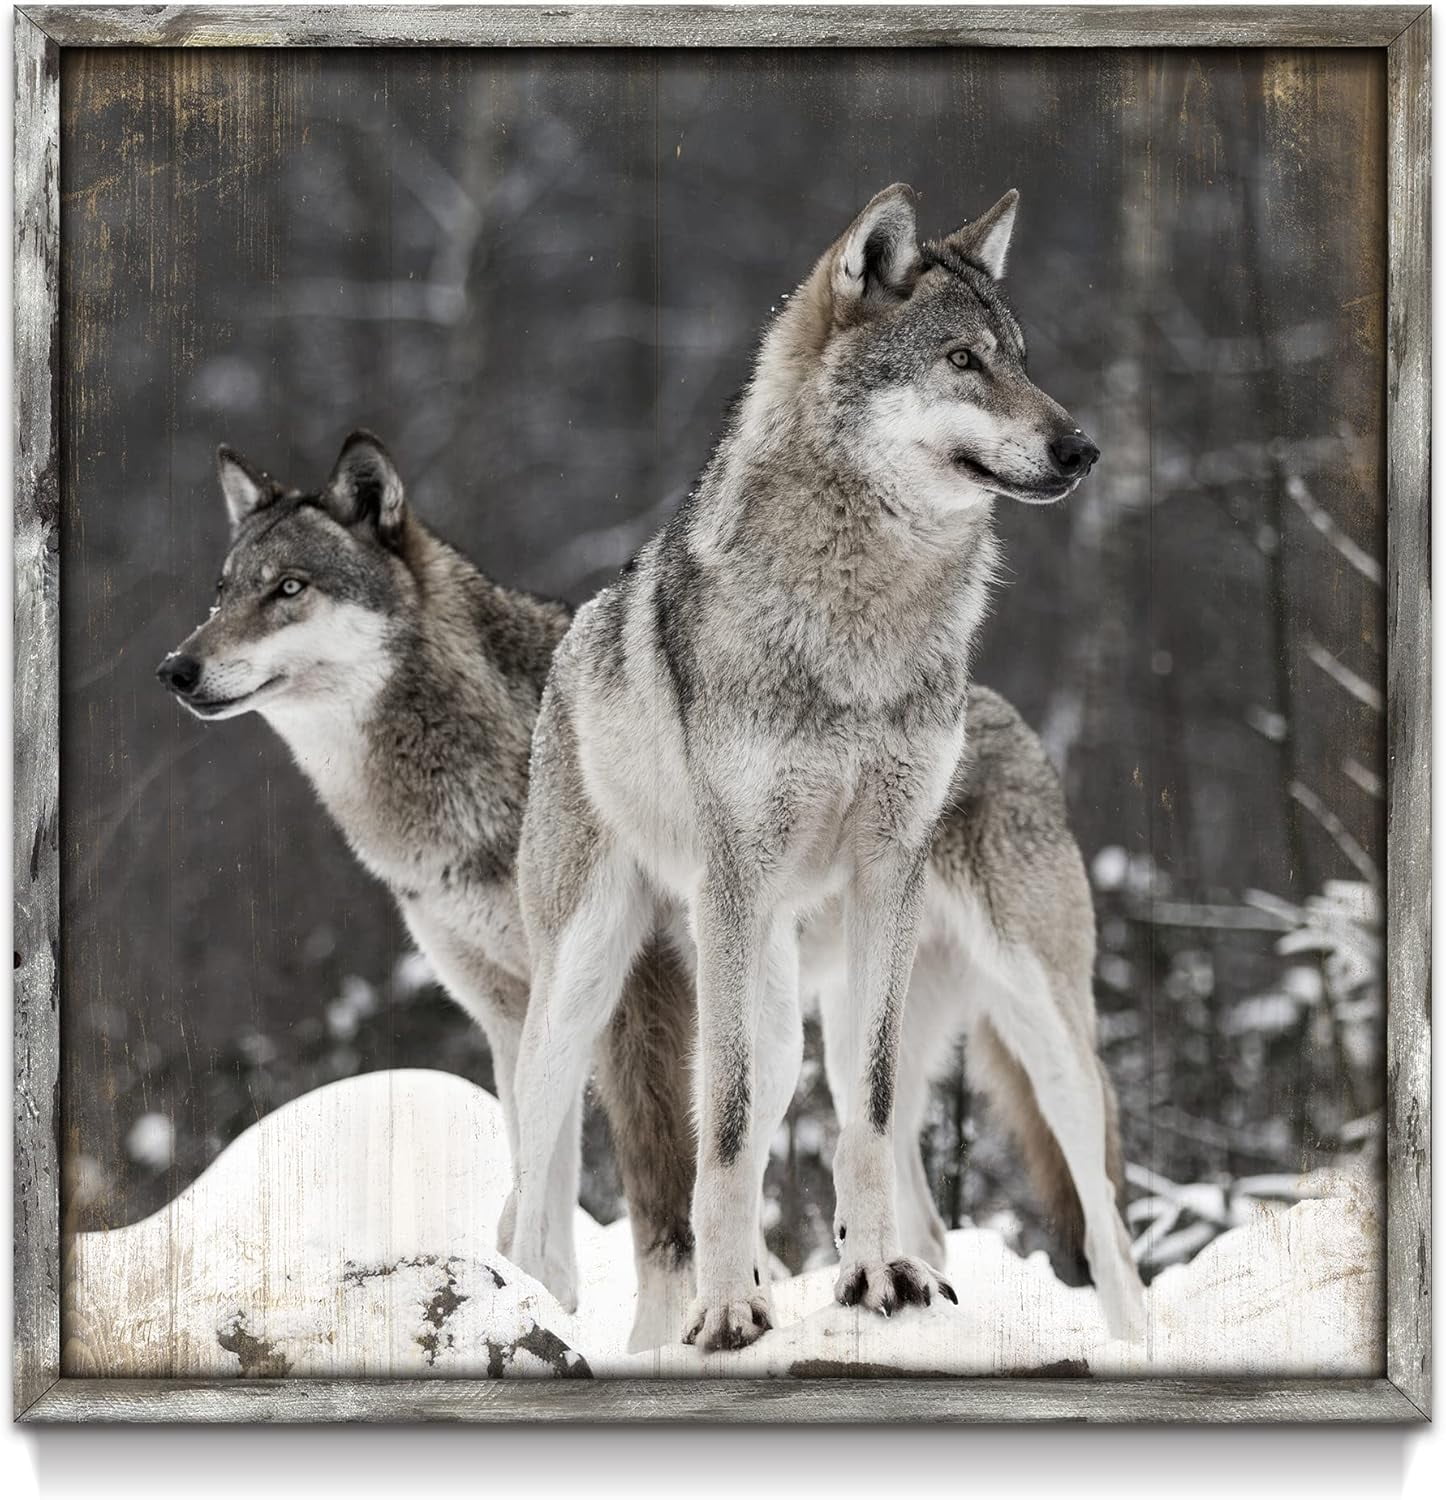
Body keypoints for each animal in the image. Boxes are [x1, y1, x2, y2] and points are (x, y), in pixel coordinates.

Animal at [156, 432, 702, 1351]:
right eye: (223, 591)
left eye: (289, 587)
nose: (176, 668)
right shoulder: (512, 1014)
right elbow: (540, 1170)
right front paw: (537, 1299)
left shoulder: (634, 993)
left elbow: (654, 1193)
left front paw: (654, 1342)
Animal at [508, 184, 1147, 1352]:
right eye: (961, 360)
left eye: (1022, 360)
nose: (1081, 447)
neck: (866, 621)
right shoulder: (734, 886)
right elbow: (721, 1136)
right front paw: (724, 1309)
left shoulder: (888, 874)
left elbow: (875, 1112)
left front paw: (878, 1278)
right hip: (611, 987)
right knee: (546, 1182)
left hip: (1029, 1024)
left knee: (1103, 1225)